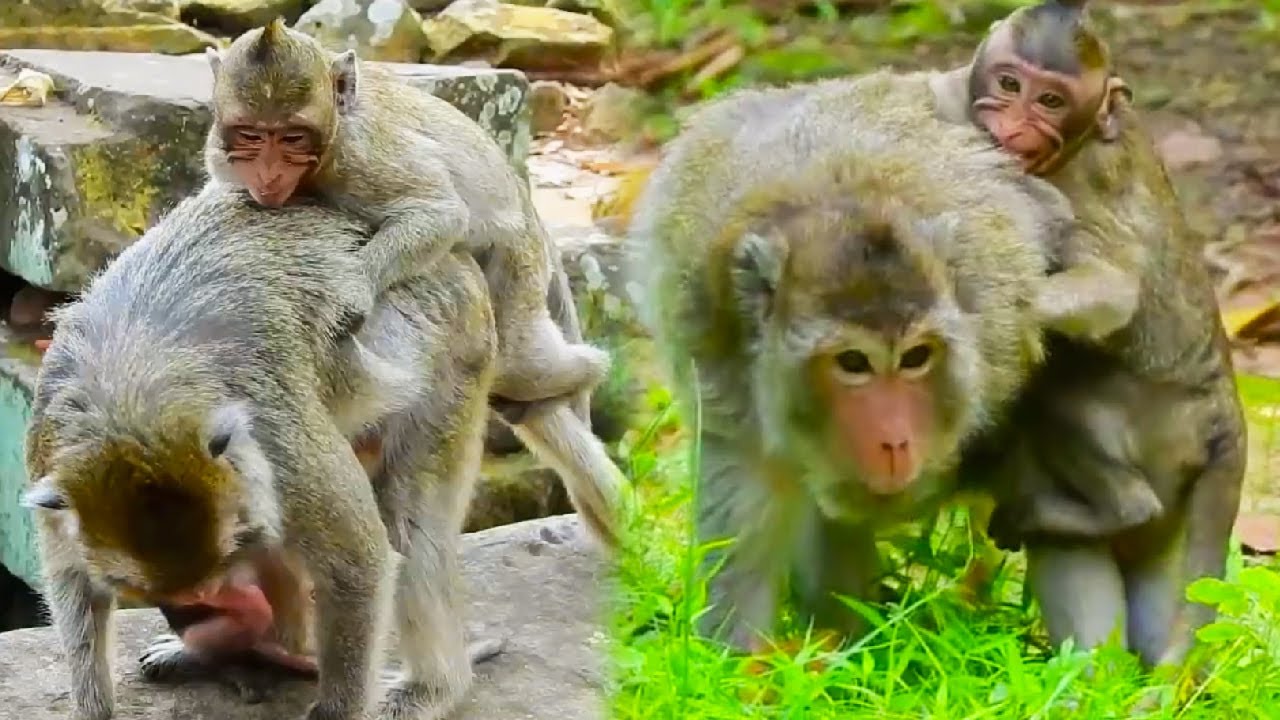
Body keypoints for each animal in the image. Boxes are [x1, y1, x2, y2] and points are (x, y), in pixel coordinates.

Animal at [22, 183, 510, 720]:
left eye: (214, 581)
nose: (200, 613)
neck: (129, 404)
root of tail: (462, 263)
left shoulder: (281, 443)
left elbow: (360, 562)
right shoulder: (49, 448)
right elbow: (73, 583)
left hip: (456, 351)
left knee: (410, 522)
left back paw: (429, 687)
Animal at [202, 19, 612, 419]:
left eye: (293, 138)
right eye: (251, 135)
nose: (268, 174)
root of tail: (525, 200)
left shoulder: (359, 157)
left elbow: (441, 212)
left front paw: (354, 287)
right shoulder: (221, 158)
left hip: (519, 260)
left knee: (523, 362)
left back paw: (588, 370)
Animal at [923, 0, 1246, 668]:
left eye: (1050, 101)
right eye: (1009, 84)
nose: (1015, 125)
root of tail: (1226, 413)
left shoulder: (1077, 185)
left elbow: (1112, 287)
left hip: (1162, 432)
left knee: (1059, 388)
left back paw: (1108, 508)